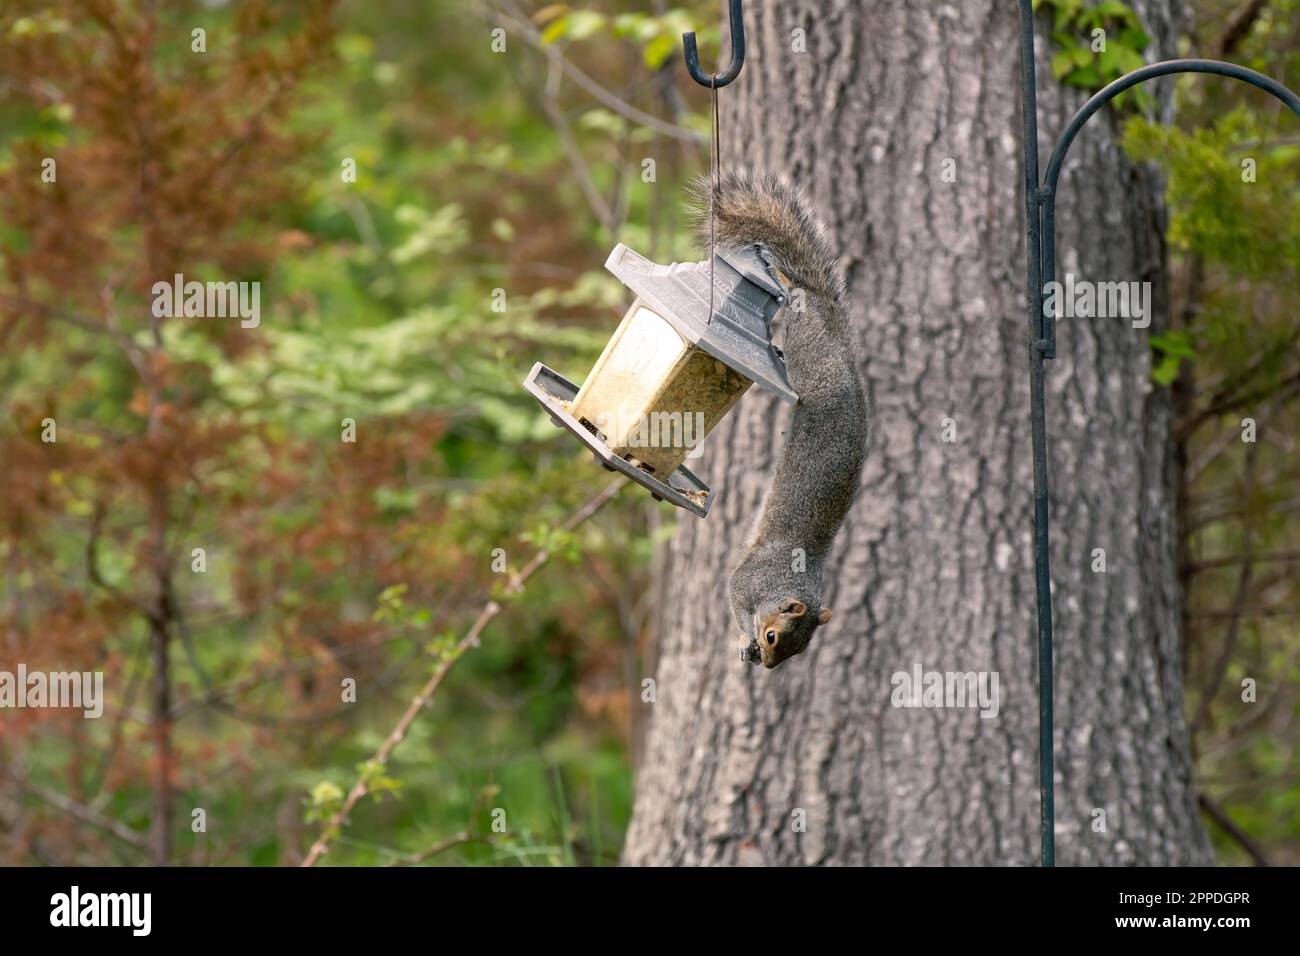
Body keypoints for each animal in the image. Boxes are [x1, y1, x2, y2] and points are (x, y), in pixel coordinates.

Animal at [693, 169, 869, 669]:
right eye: (772, 637)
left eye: (796, 651)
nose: (769, 667)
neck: (789, 583)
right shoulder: (750, 578)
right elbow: (734, 595)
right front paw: (741, 639)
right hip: (810, 350)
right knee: (796, 299)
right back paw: (781, 276)